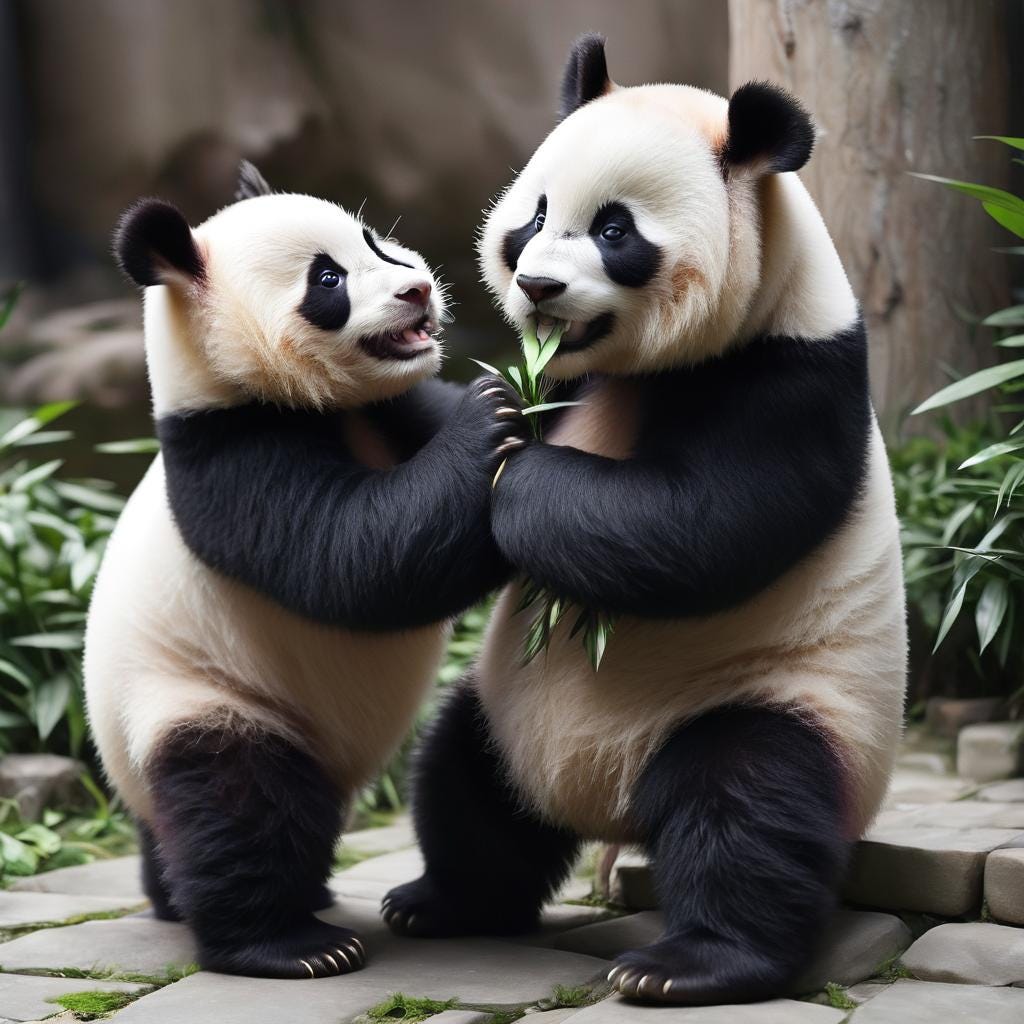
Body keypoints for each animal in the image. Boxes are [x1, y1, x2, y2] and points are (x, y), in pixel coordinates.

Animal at [83, 163, 526, 980]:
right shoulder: (233, 460)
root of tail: (131, 788)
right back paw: (287, 942)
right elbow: (357, 559)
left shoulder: (393, 407)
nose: (417, 288)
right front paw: (489, 412)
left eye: (374, 240)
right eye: (328, 279)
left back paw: (190, 898)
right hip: (205, 695)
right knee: (239, 800)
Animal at [383, 36, 907, 1006]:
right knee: (461, 780)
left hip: (786, 697)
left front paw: (518, 478)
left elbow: (695, 525)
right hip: (503, 711)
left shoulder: (791, 372)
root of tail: (608, 809)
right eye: (534, 214)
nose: (536, 284)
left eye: (615, 230)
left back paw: (689, 964)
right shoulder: (570, 377)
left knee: (748, 803)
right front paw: (483, 414)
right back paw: (441, 902)